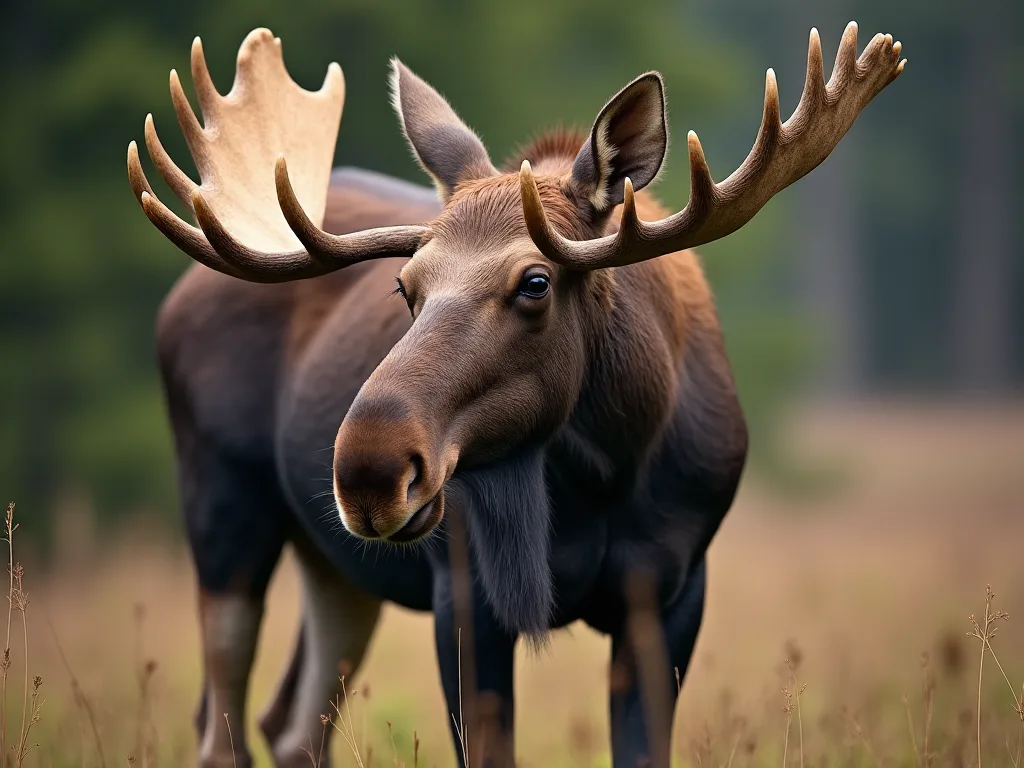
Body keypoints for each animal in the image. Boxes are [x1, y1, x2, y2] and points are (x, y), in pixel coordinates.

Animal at [126, 23, 904, 768]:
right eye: (405, 286)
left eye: (536, 282)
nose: (368, 469)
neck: (607, 472)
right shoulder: (463, 590)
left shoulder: (673, 585)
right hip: (224, 509)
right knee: (219, 727)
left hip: (334, 564)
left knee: (290, 724)